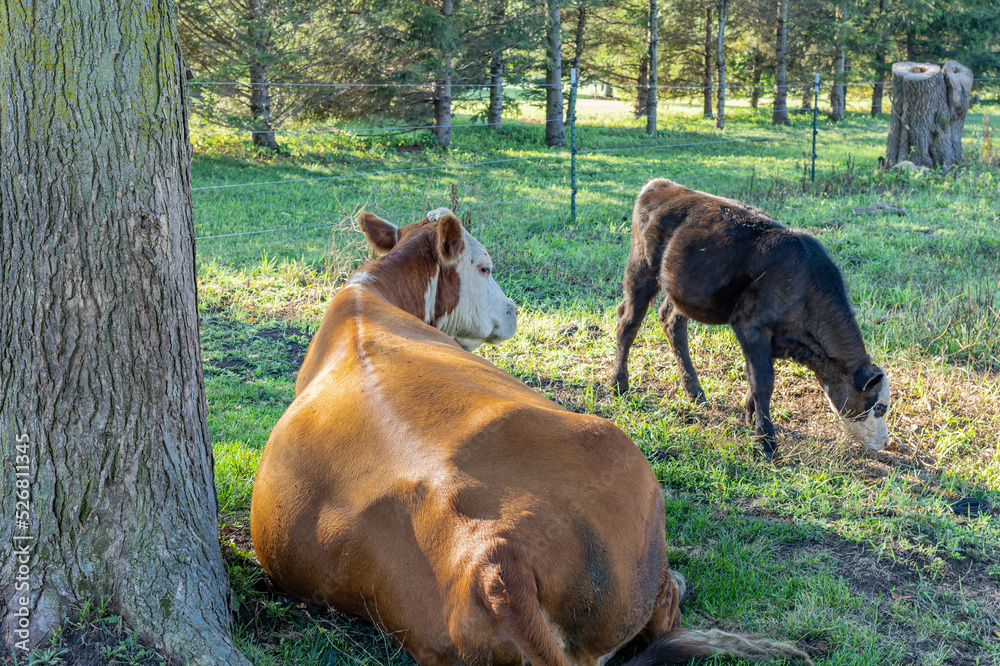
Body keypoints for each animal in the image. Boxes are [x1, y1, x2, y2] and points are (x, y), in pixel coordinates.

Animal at [250, 208, 813, 665]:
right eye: (483, 267)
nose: (515, 309)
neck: (370, 293)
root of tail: (494, 557)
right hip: (628, 478)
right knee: (661, 617)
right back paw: (681, 584)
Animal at [611, 178, 891, 459]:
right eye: (879, 407)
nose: (884, 444)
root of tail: (661, 184)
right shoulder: (752, 327)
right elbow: (763, 383)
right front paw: (766, 442)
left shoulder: (775, 339)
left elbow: (756, 378)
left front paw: (750, 417)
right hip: (641, 271)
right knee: (628, 324)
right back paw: (619, 385)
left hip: (684, 289)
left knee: (672, 323)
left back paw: (696, 394)